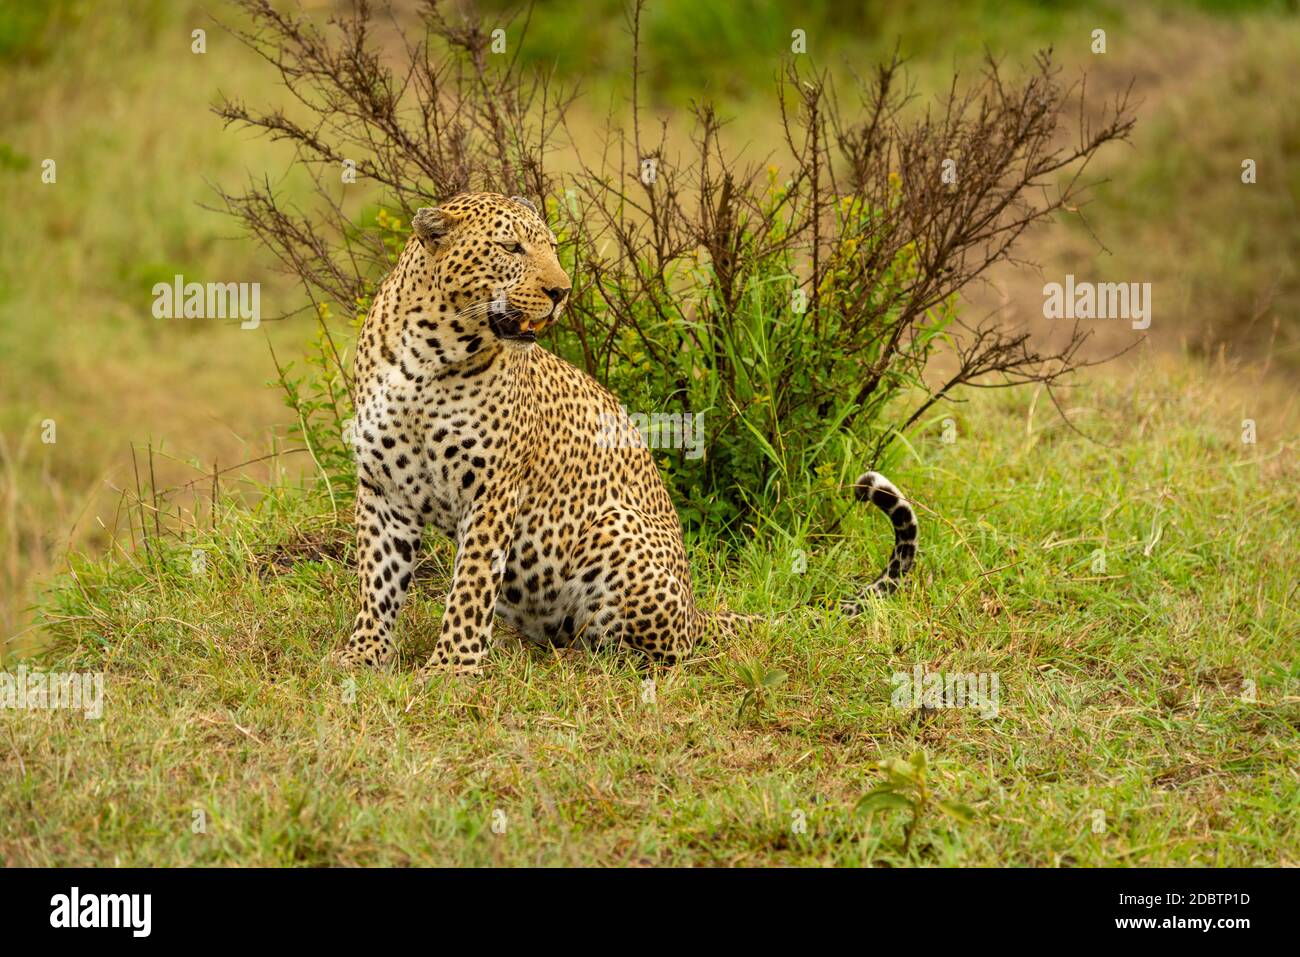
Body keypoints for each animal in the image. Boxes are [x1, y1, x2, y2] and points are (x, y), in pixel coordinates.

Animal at [336, 191, 918, 672]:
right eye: (511, 247)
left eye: (550, 248)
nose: (561, 291)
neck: (429, 356)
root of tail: (697, 610)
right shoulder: (382, 490)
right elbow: (378, 579)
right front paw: (363, 655)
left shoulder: (493, 491)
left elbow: (471, 585)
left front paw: (451, 669)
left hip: (613, 530)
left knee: (655, 649)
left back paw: (576, 661)